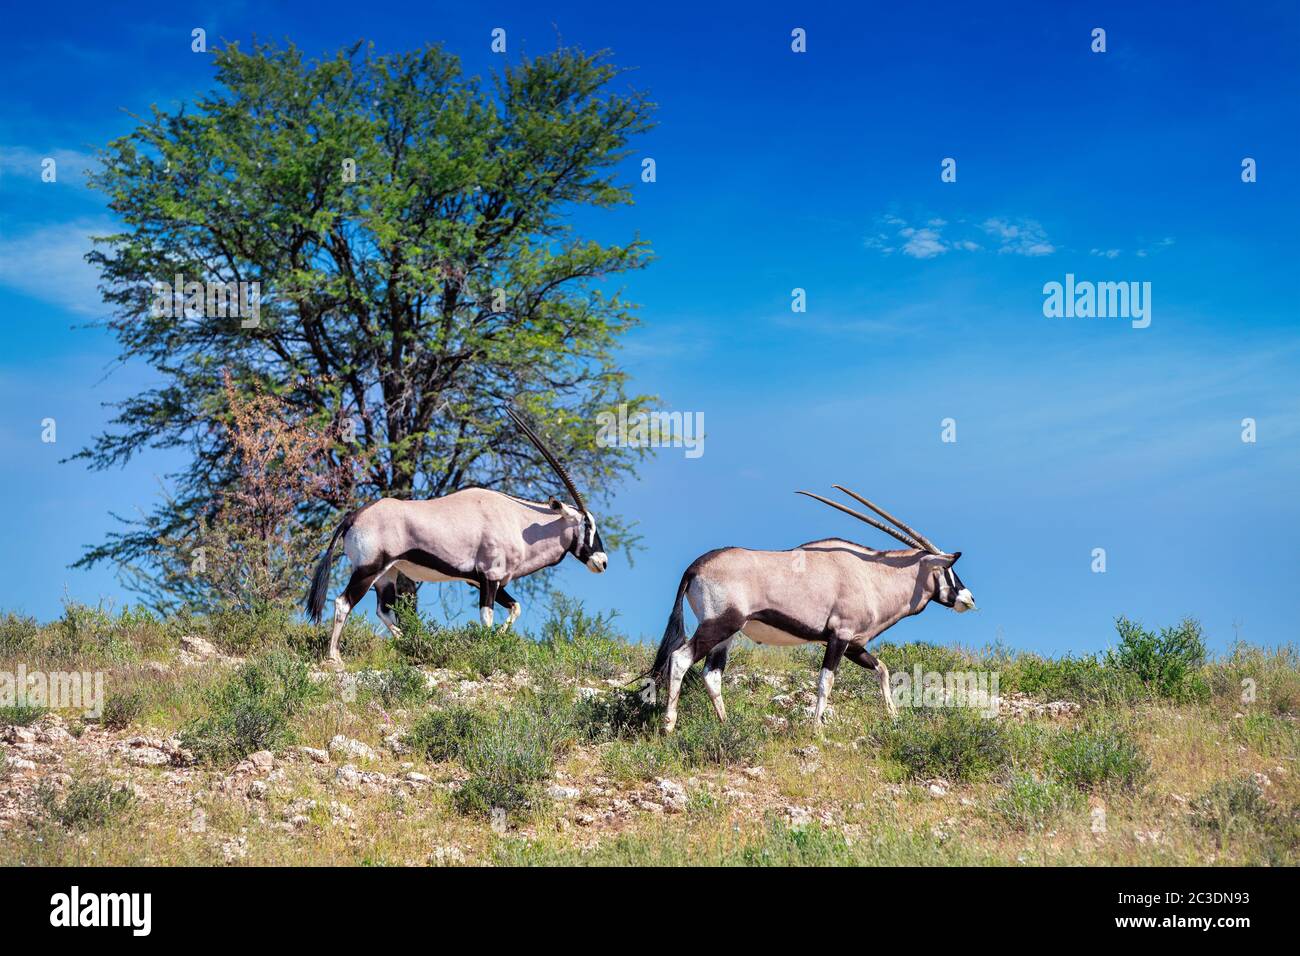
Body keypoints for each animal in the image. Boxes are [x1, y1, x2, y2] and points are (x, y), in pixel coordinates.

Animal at [305, 408, 608, 668]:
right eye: (587, 524)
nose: (602, 562)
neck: (518, 521)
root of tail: (353, 517)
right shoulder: (489, 577)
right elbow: (487, 616)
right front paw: (487, 648)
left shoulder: (486, 580)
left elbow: (515, 608)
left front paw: (499, 639)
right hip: (368, 569)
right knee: (343, 602)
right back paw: (334, 657)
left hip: (386, 575)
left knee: (384, 610)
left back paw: (409, 644)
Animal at [650, 486, 974, 732]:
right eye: (947, 570)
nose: (968, 598)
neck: (871, 574)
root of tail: (694, 567)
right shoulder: (840, 636)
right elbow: (825, 681)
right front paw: (817, 727)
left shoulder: (854, 644)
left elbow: (881, 669)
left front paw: (893, 716)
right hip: (719, 624)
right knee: (680, 658)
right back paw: (668, 725)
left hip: (727, 635)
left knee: (711, 674)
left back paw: (726, 723)